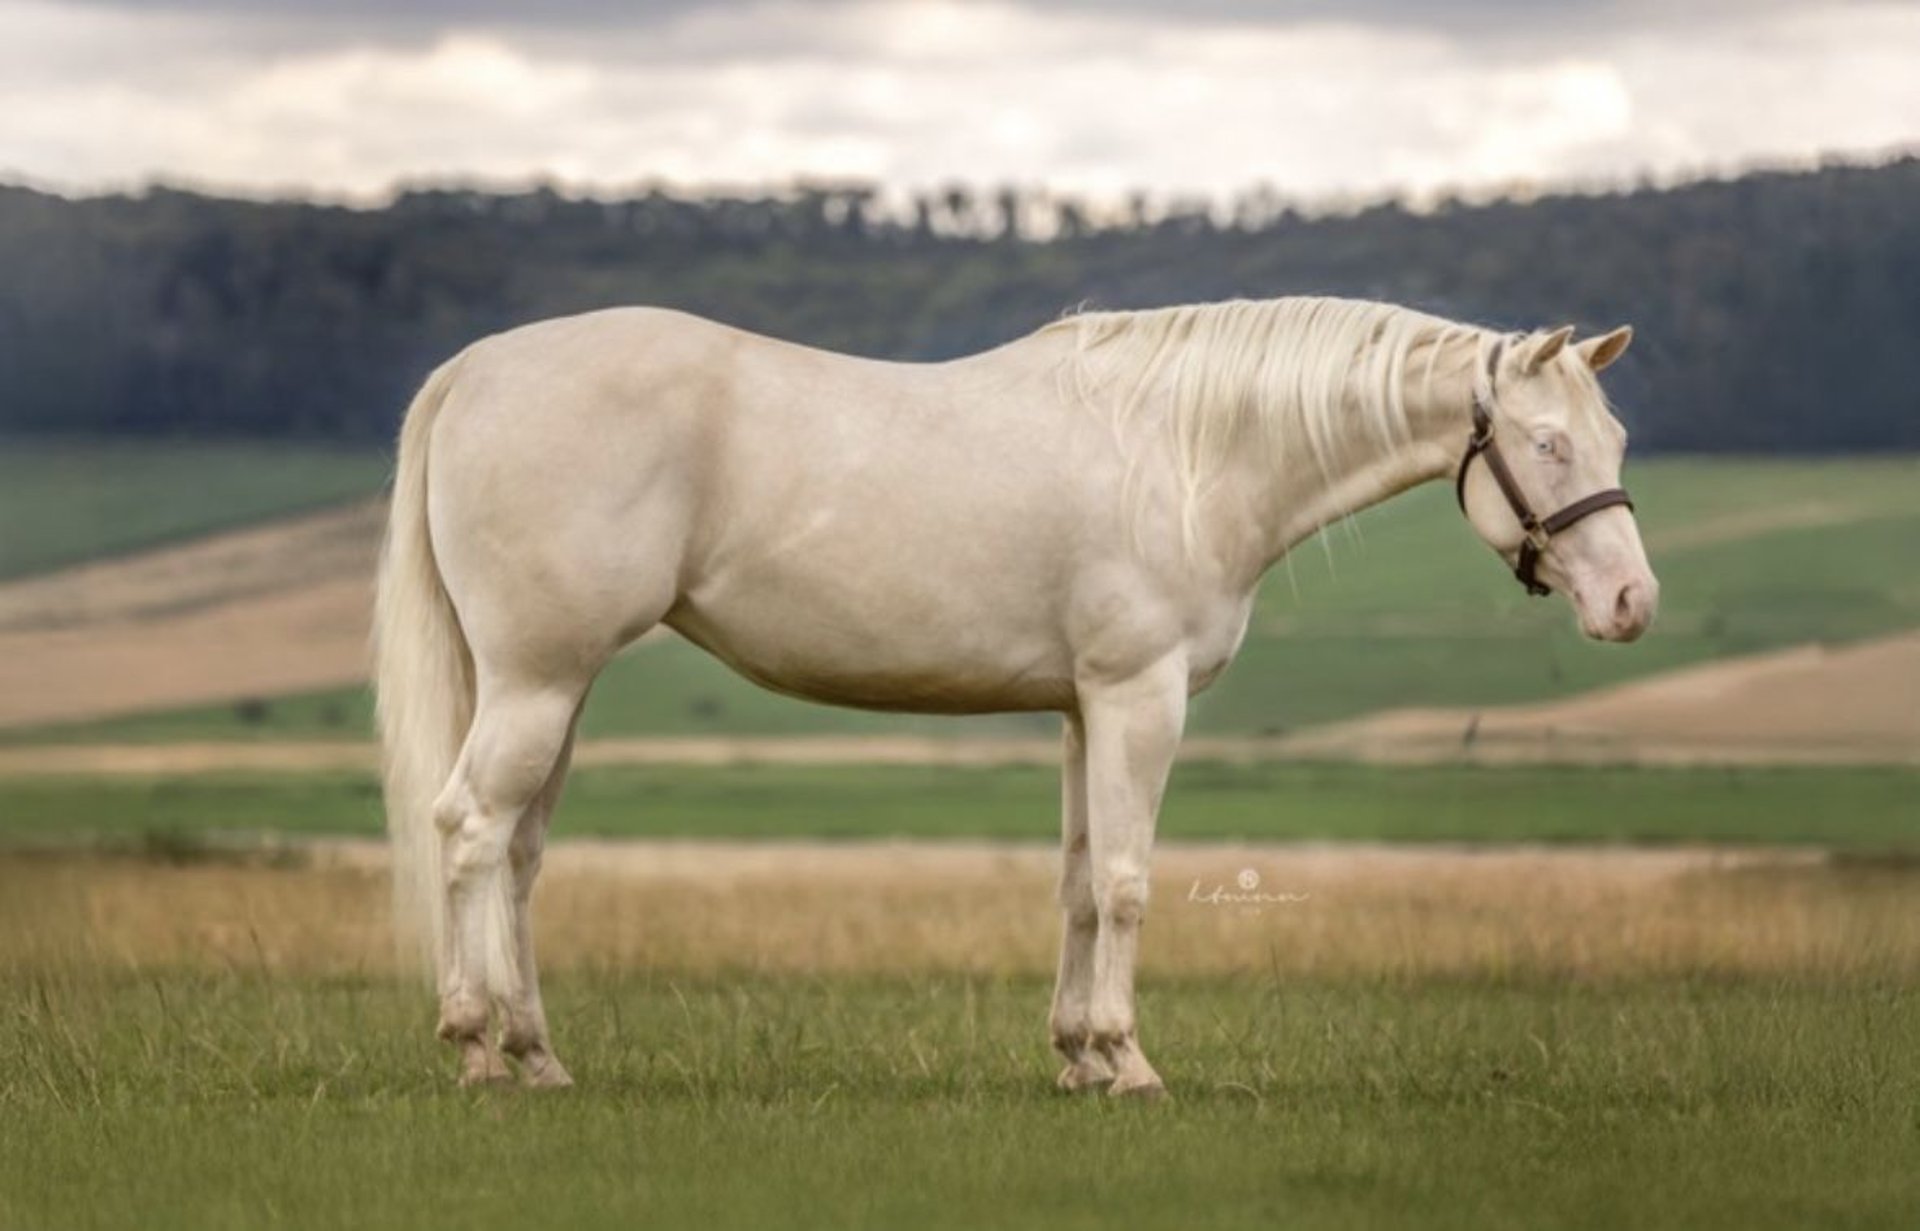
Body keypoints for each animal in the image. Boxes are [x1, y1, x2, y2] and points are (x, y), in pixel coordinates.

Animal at [373, 296, 1657, 1096]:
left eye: (1615, 436)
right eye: (1546, 444)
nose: (1632, 601)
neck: (1189, 453)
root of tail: (474, 369)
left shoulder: (1085, 708)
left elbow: (1081, 884)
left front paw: (1077, 1054)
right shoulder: (1141, 698)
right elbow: (1131, 882)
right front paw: (1130, 1062)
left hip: (553, 688)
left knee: (520, 856)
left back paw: (538, 1055)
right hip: (538, 680)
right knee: (470, 831)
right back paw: (476, 1046)